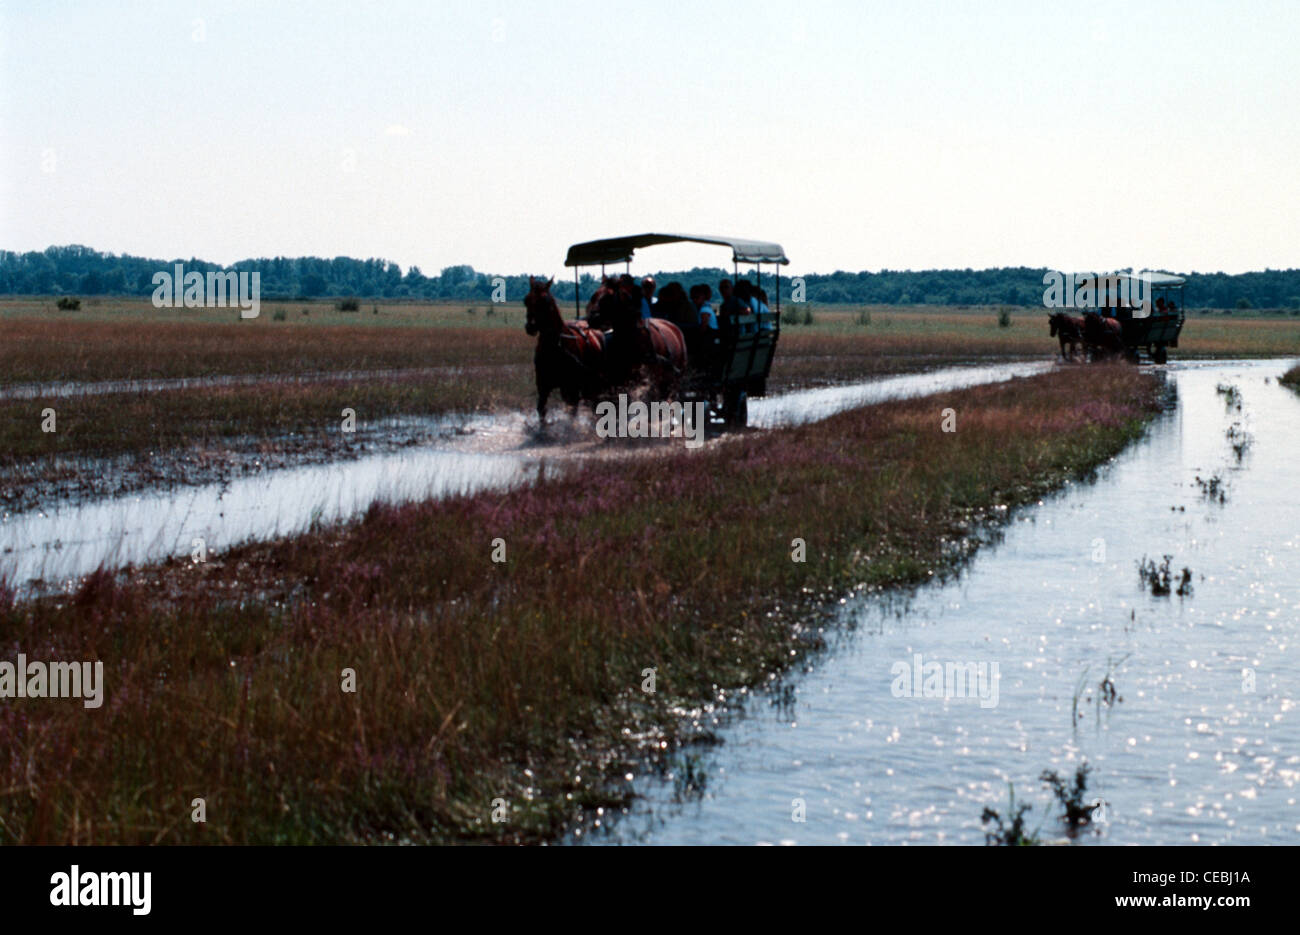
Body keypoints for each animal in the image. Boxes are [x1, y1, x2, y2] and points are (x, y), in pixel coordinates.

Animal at [523, 277, 606, 424]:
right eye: (526, 300)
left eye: (545, 301)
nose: (530, 326)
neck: (554, 347)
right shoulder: (543, 386)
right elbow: (541, 410)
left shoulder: (572, 387)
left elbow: (572, 412)